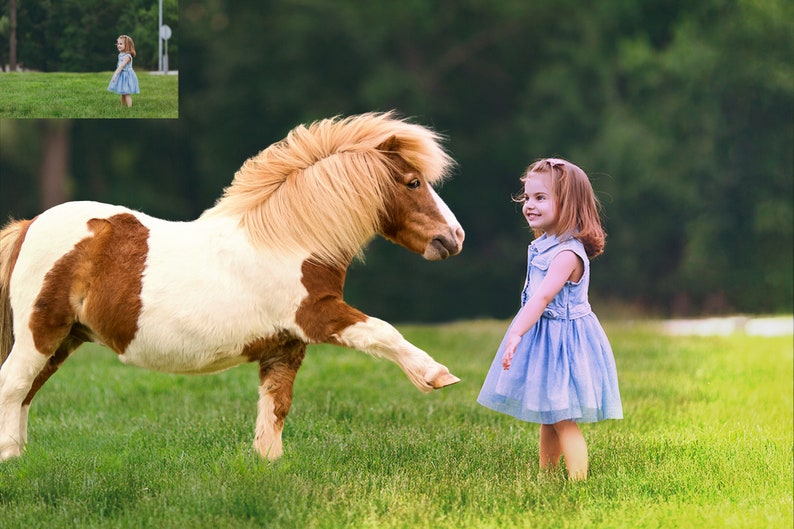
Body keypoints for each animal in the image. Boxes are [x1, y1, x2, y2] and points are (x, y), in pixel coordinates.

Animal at [0, 112, 465, 462]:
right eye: (413, 182)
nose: (454, 238)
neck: (291, 241)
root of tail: (29, 226)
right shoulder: (318, 317)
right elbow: (382, 331)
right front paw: (438, 376)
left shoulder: (285, 347)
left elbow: (275, 408)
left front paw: (267, 465)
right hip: (41, 333)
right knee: (13, 386)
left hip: (65, 339)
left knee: (25, 393)